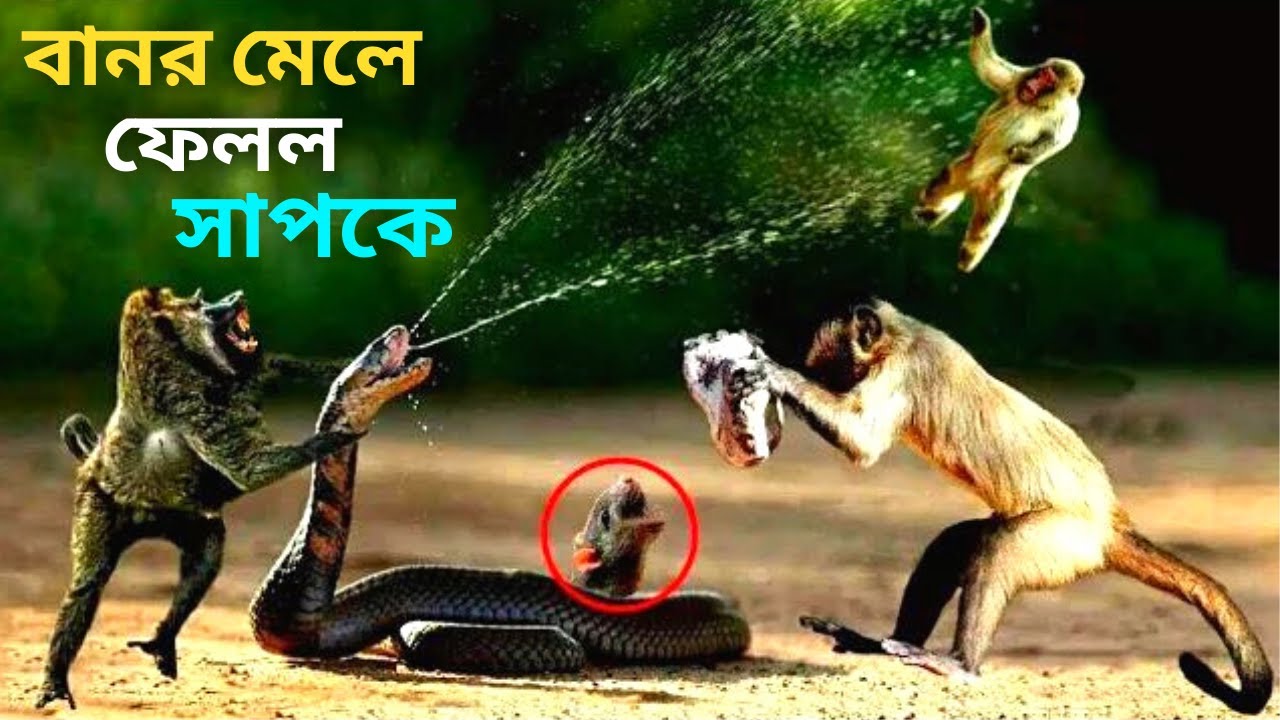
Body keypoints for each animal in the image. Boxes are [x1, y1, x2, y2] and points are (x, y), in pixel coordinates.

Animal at [36, 287, 362, 710]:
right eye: (205, 306)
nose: (235, 296)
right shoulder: (184, 396)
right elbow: (246, 468)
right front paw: (333, 438)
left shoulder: (236, 376)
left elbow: (275, 367)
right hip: (98, 499)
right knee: (87, 585)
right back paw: (55, 680)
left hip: (182, 517)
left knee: (206, 557)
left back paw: (163, 640)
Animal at [754, 299, 1272, 714]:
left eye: (828, 372)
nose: (819, 379)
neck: (903, 334)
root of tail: (1111, 524)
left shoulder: (903, 370)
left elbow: (861, 443)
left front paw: (779, 375)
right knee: (956, 543)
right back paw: (890, 644)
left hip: (1067, 538)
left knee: (998, 547)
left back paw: (960, 665)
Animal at [914, 8, 1083, 273]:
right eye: (1041, 73)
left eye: (1048, 80)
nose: (1034, 83)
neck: (1038, 105)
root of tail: (975, 185)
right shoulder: (1019, 78)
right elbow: (988, 67)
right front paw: (980, 23)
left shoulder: (1068, 115)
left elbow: (1058, 140)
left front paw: (1025, 155)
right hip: (964, 168)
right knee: (942, 183)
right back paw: (931, 211)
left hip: (999, 191)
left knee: (983, 230)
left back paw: (966, 258)